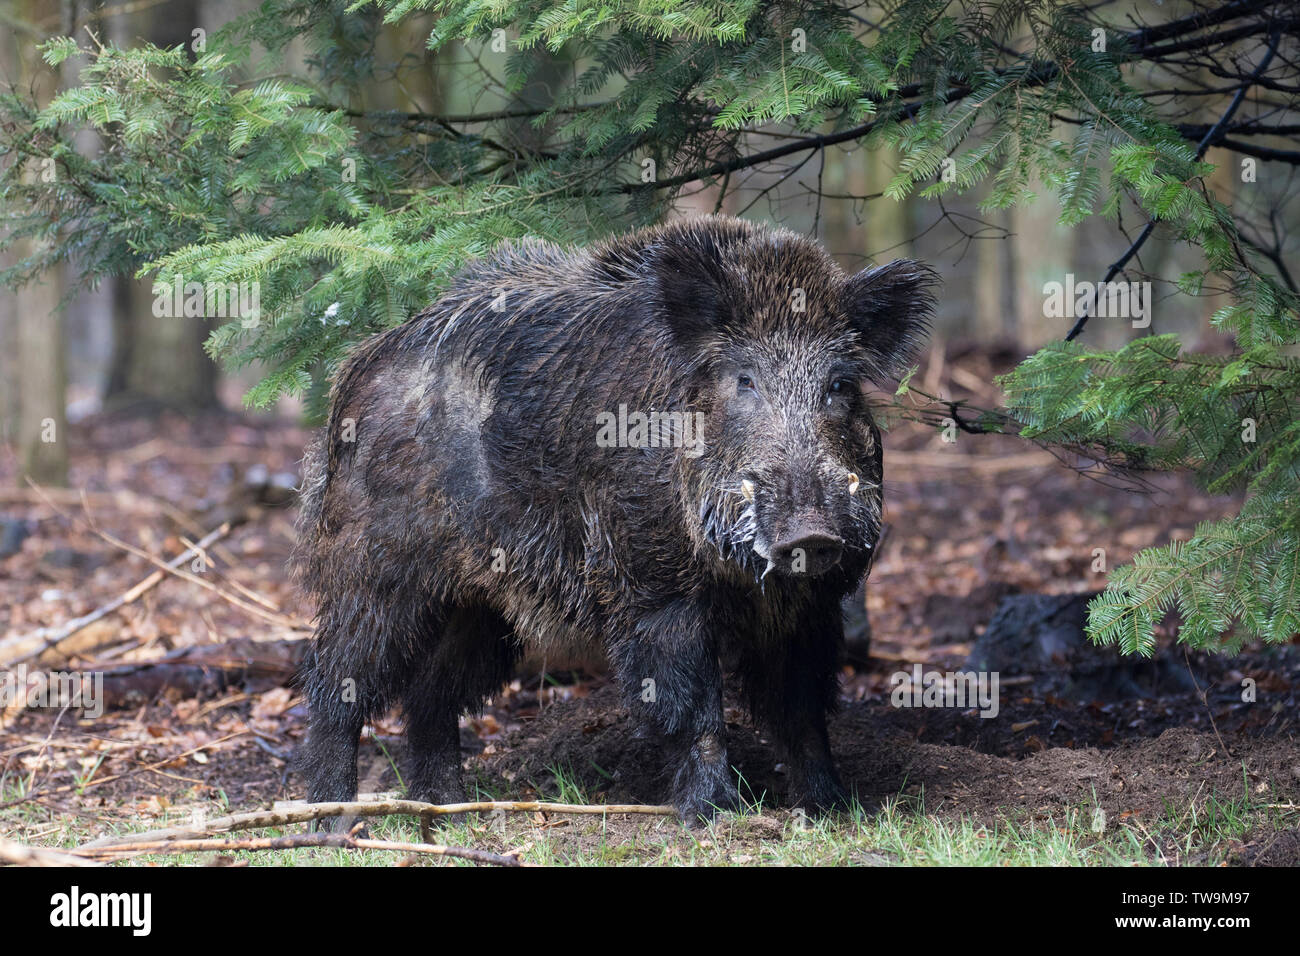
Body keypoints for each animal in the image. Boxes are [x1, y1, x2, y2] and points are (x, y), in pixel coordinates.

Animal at [293, 215, 936, 822]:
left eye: (840, 385)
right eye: (744, 379)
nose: (813, 531)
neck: (741, 574)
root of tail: (355, 372)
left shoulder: (808, 611)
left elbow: (801, 713)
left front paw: (835, 809)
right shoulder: (654, 587)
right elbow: (692, 707)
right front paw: (715, 815)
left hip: (486, 603)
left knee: (431, 697)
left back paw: (448, 815)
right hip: (373, 569)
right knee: (335, 684)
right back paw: (332, 824)